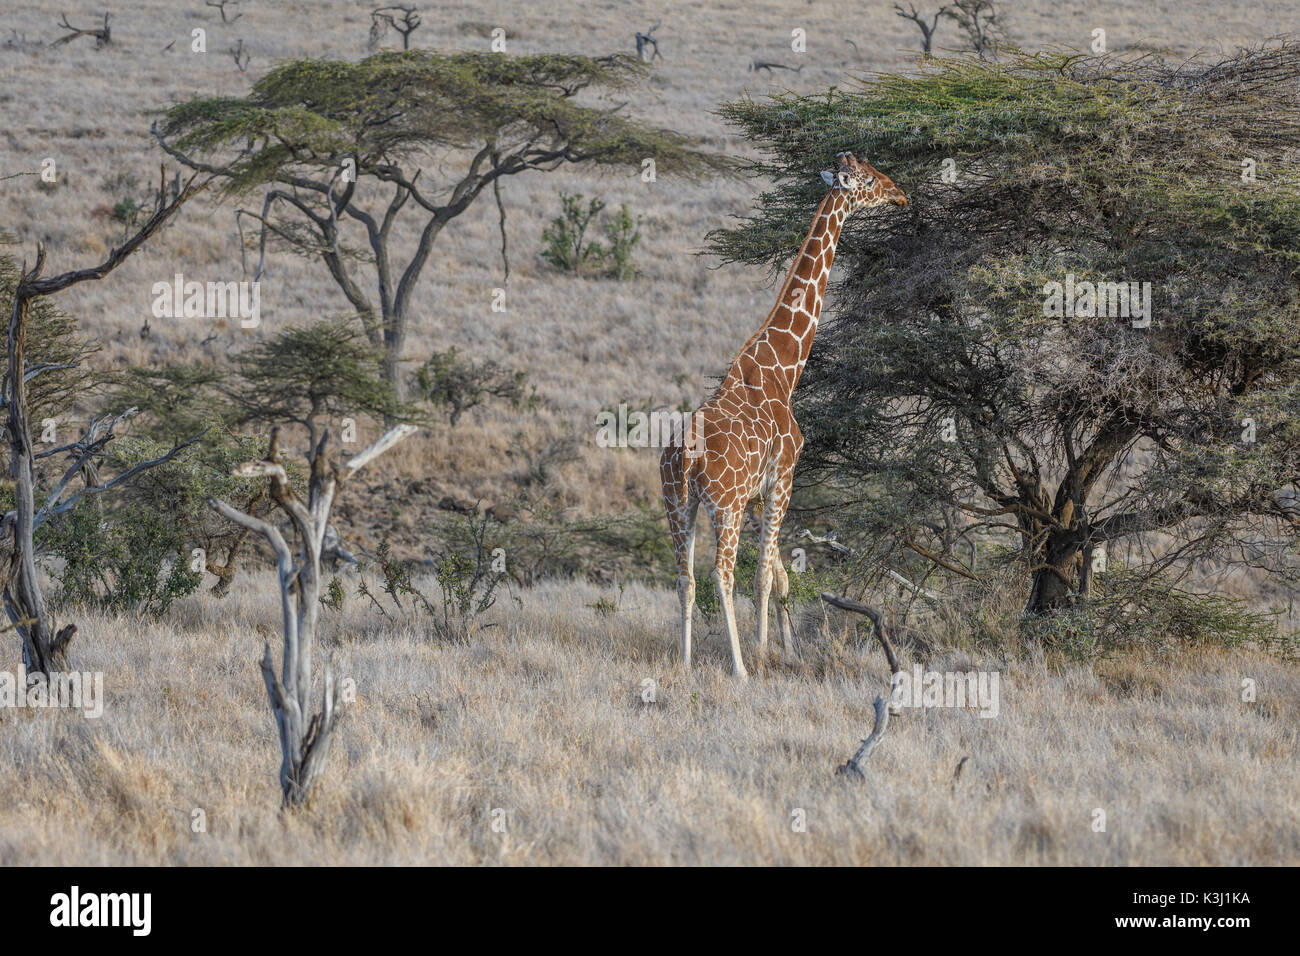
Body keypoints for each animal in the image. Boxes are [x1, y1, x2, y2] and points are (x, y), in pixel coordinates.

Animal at [660, 152, 907, 680]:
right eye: (869, 179)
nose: (900, 194)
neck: (783, 367)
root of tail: (685, 458)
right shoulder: (783, 480)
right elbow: (765, 577)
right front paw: (763, 652)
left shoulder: (757, 496)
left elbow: (778, 577)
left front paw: (786, 650)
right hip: (723, 504)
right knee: (721, 575)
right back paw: (738, 668)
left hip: (678, 503)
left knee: (685, 577)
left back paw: (686, 664)